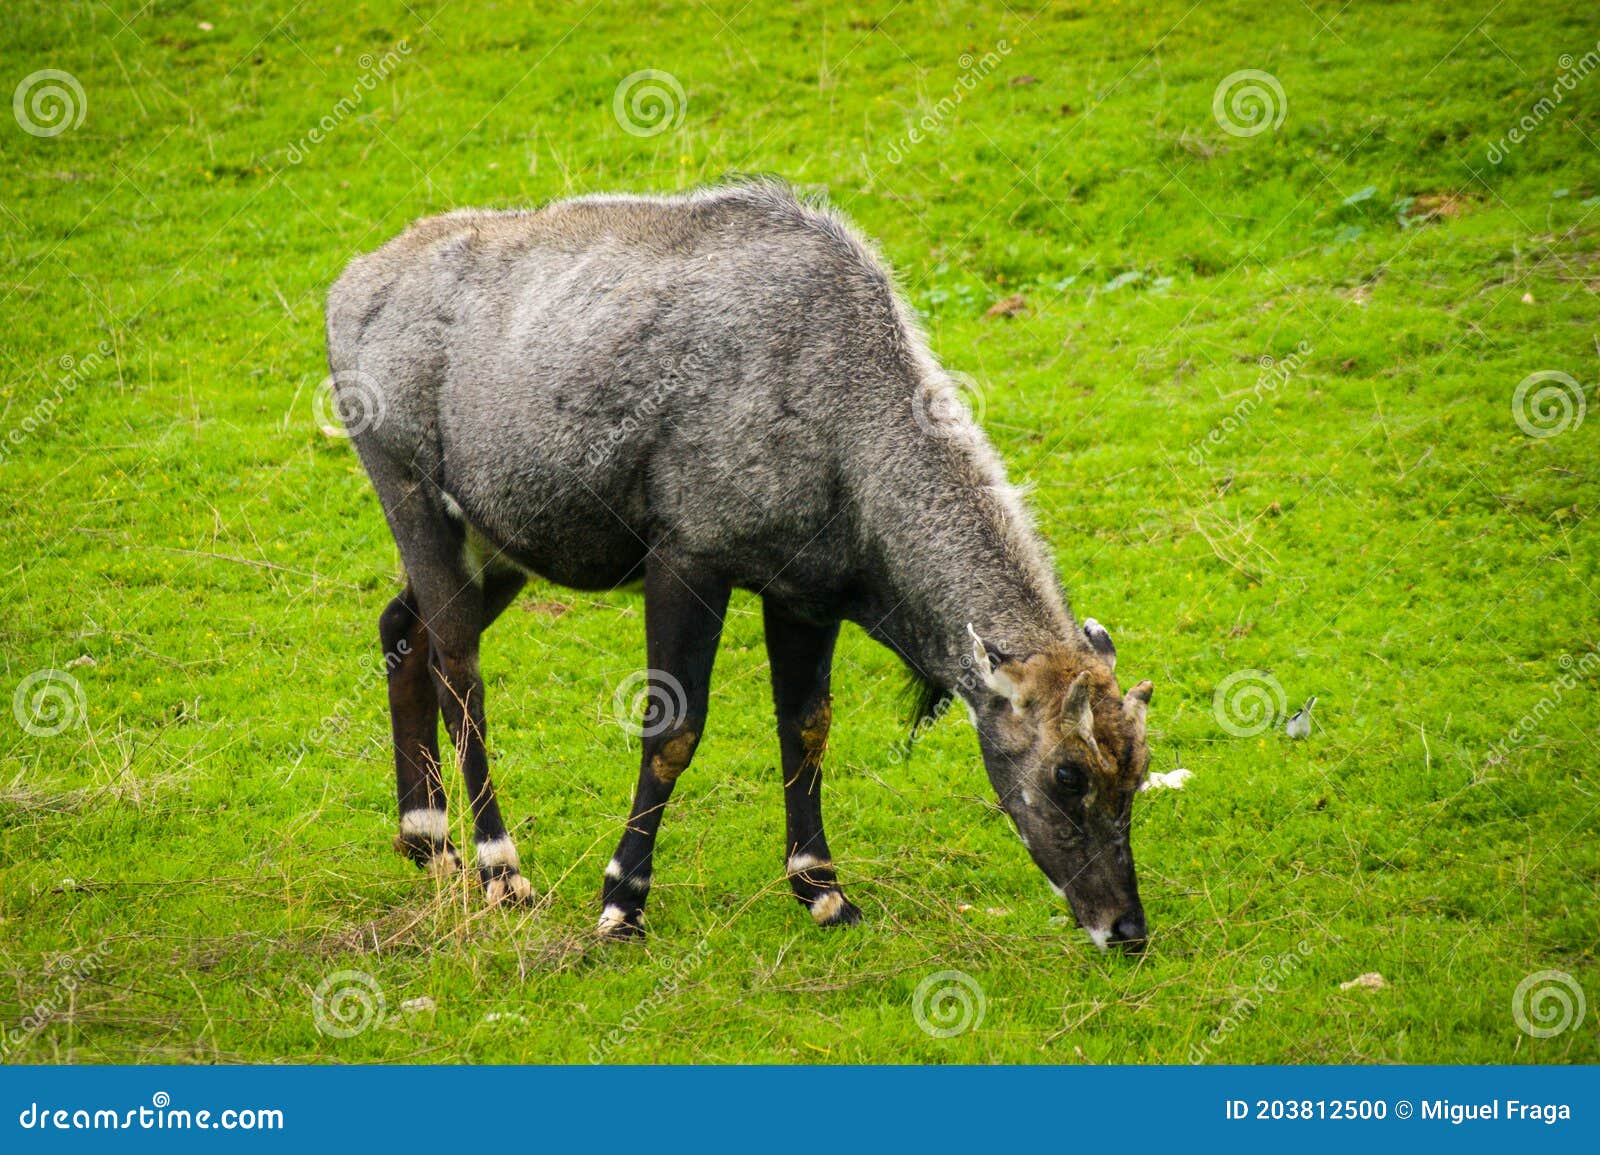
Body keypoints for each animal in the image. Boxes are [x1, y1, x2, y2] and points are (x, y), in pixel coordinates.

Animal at [326, 180, 1156, 952]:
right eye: (1068, 773)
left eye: (1139, 769)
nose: (1125, 928)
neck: (845, 416)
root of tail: (347, 290)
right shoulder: (689, 558)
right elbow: (674, 729)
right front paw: (622, 900)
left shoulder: (805, 596)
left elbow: (808, 725)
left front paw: (823, 888)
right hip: (416, 502)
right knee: (459, 670)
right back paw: (501, 867)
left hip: (498, 546)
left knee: (403, 631)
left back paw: (428, 839)